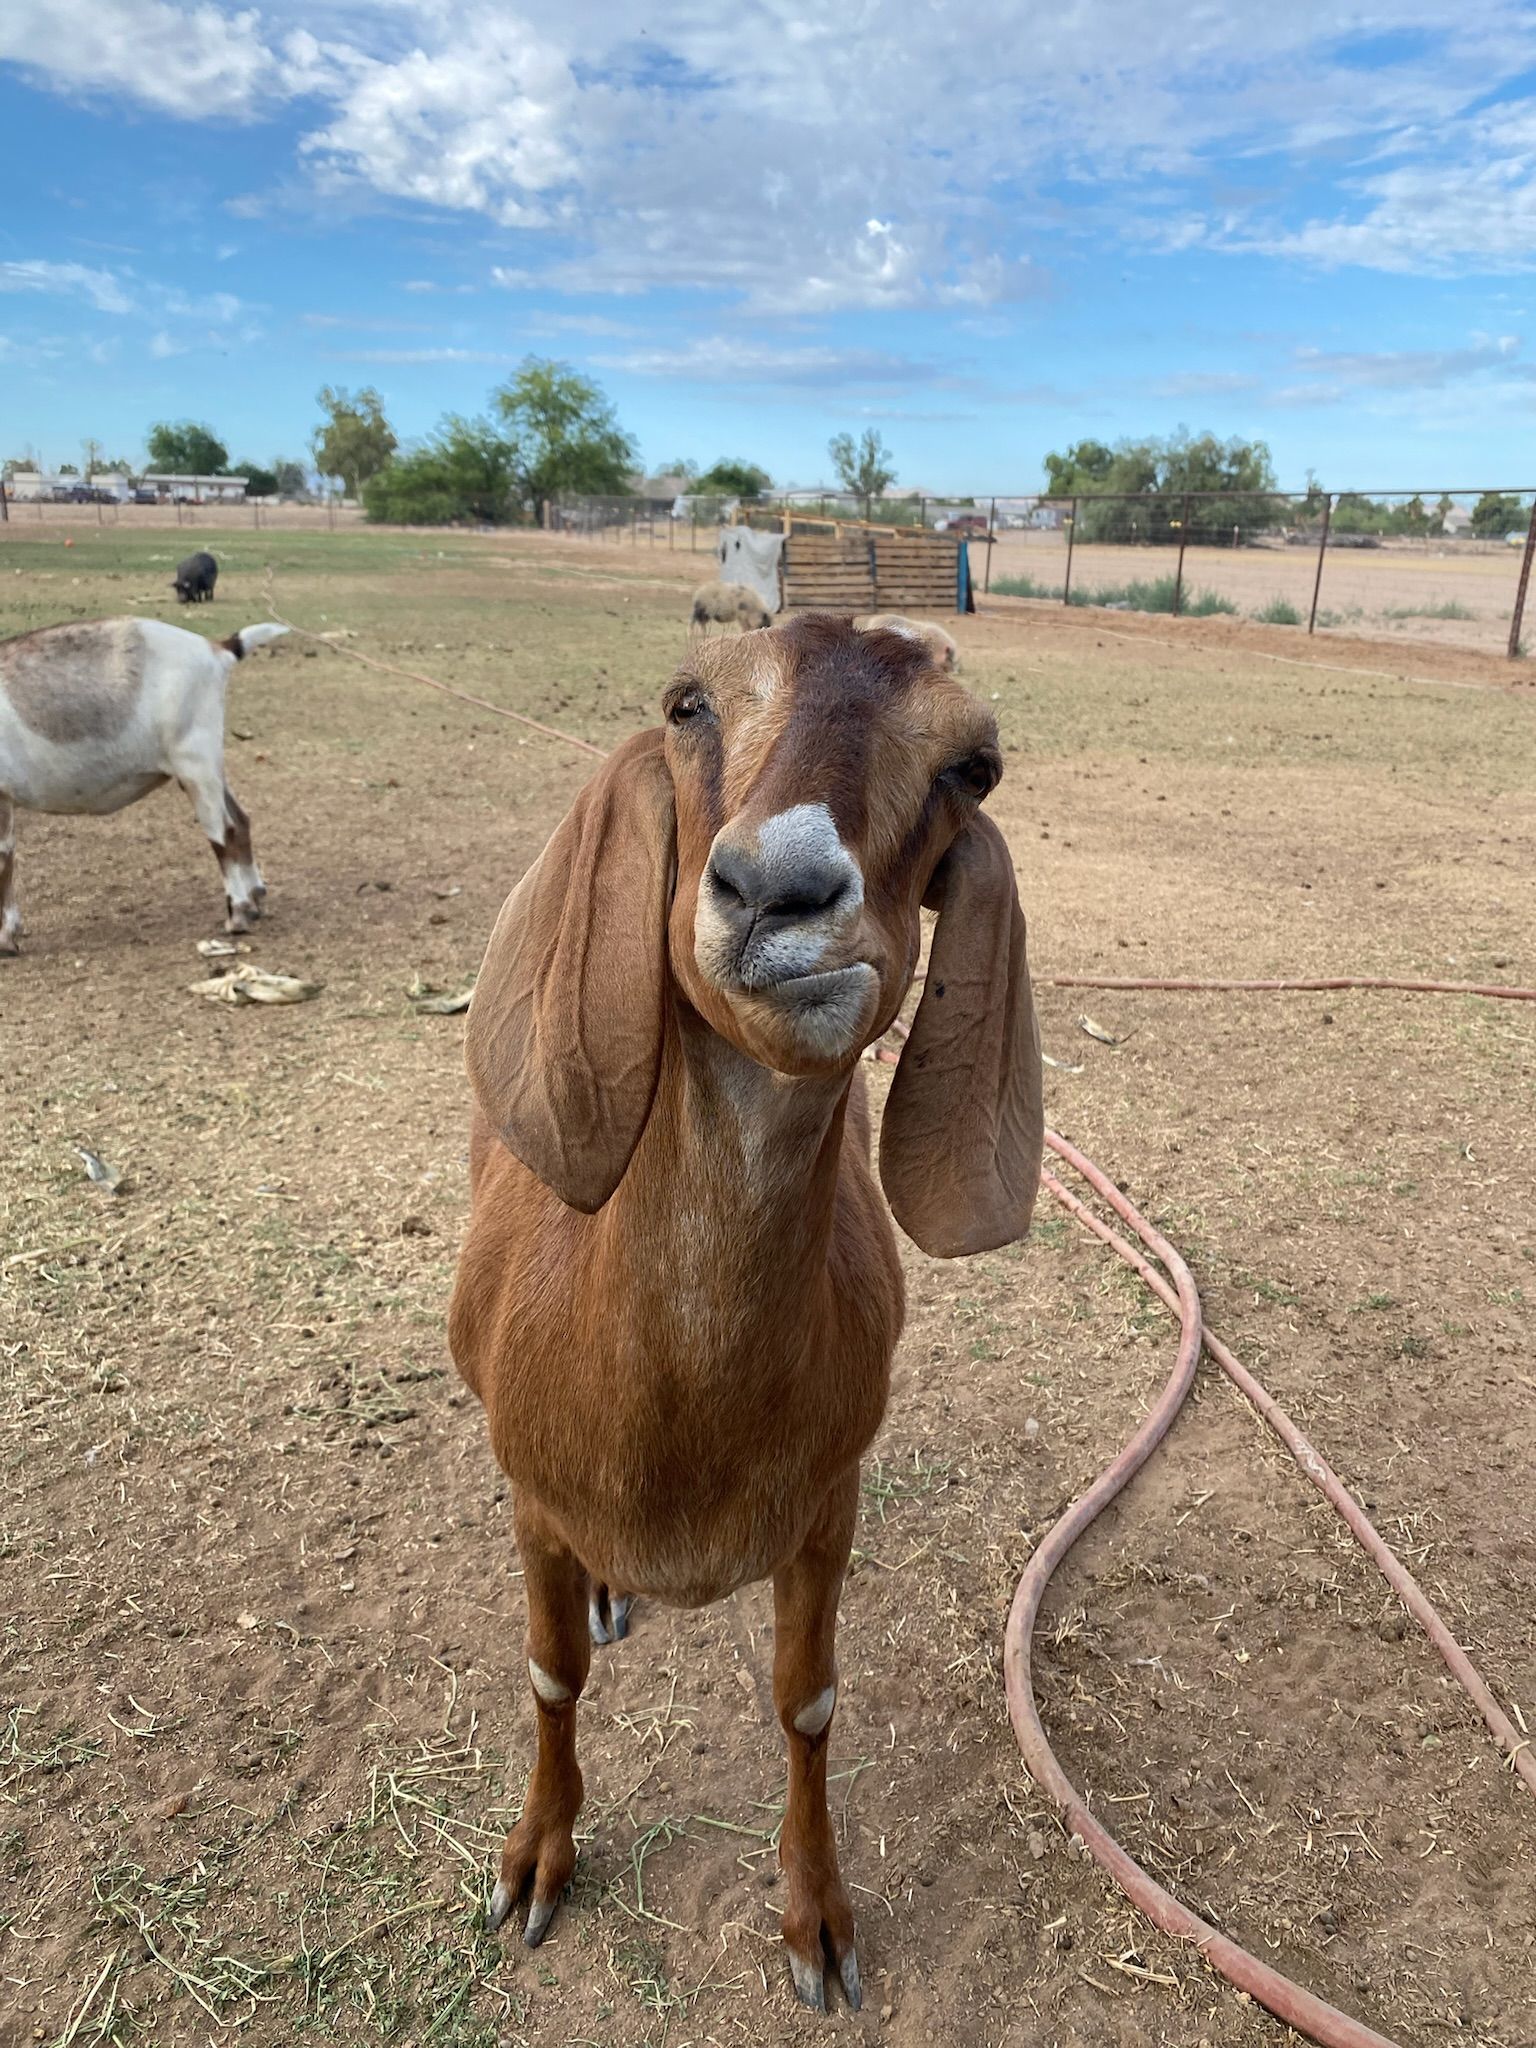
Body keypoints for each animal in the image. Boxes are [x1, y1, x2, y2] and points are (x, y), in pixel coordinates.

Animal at [0, 617, 288, 954]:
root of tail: (216, 650)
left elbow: (3, 860)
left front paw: (6, 938)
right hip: (210, 766)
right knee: (241, 820)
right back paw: (255, 899)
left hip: (195, 762)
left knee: (223, 832)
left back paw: (238, 915)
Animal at [449, 612, 1043, 2011]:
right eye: (688, 702)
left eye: (974, 766)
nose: (780, 892)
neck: (681, 1426)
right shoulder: (532, 1498)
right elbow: (550, 1670)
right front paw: (536, 1859)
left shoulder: (828, 1507)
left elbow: (808, 1702)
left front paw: (816, 1919)